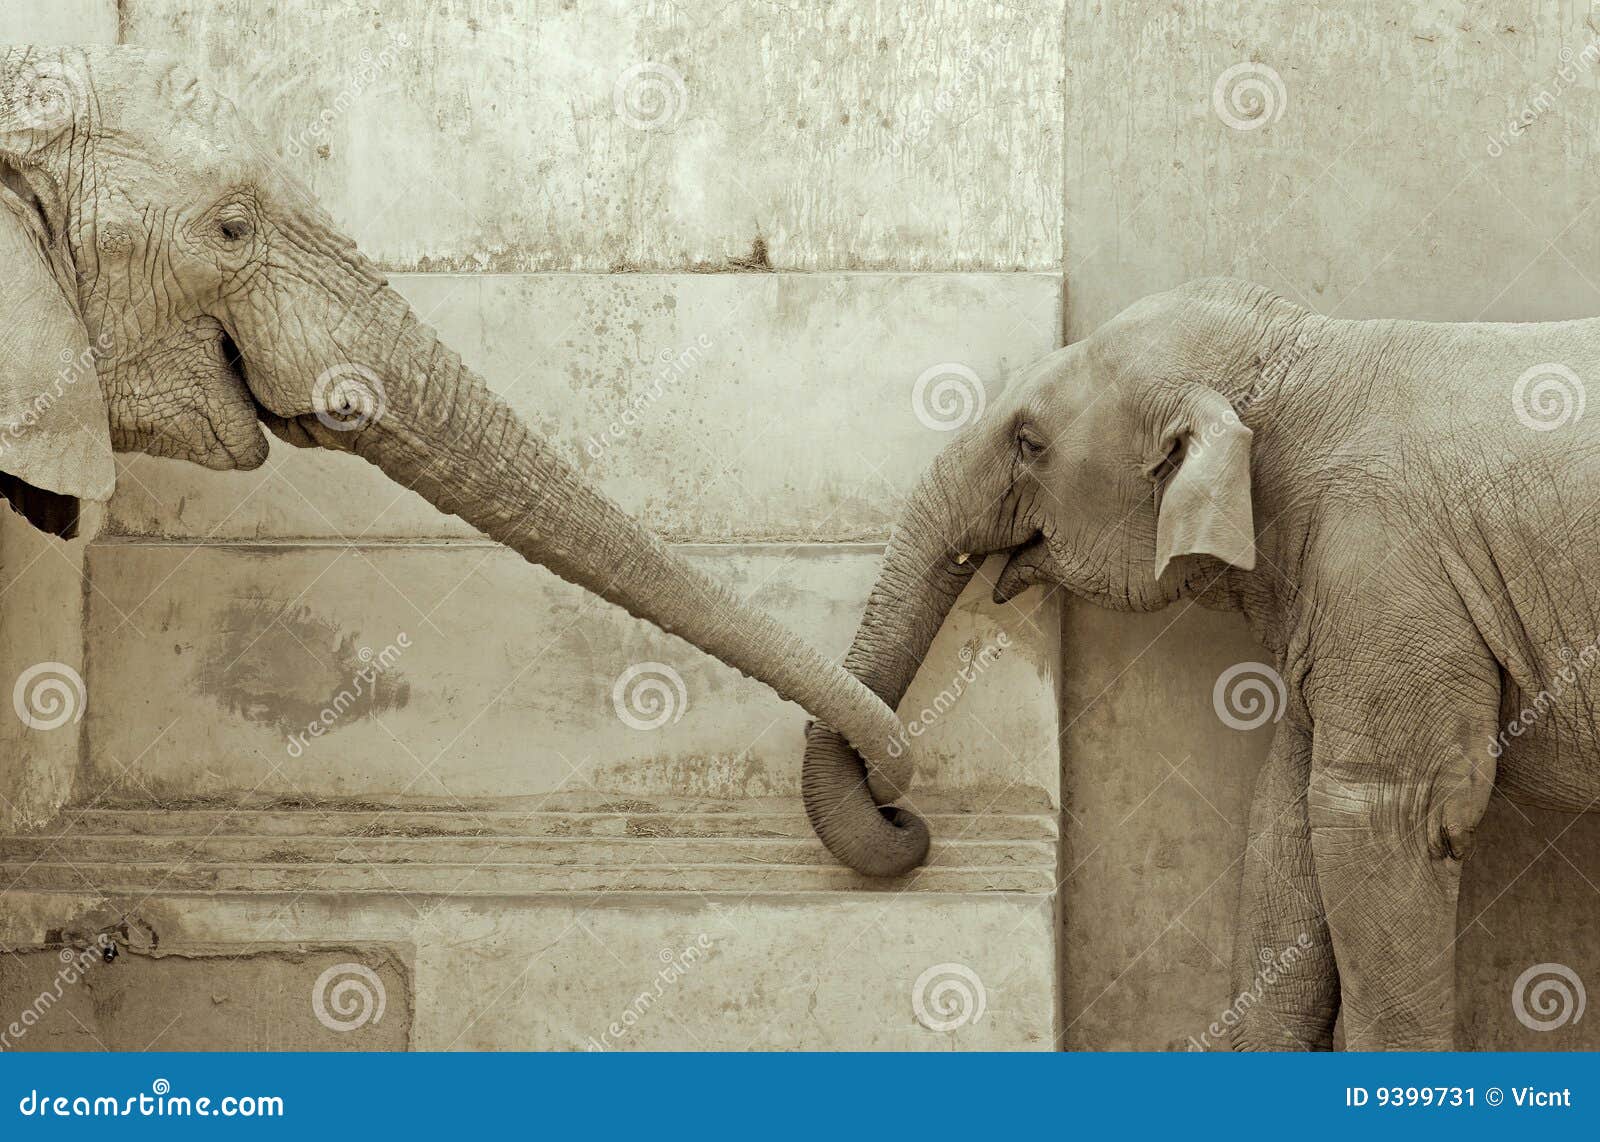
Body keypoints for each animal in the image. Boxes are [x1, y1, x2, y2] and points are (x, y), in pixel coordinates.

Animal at [804, 273, 1600, 1049]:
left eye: (1030, 443)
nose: (905, 818)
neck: (1305, 351)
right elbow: (1286, 815)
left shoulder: (1389, 573)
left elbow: (1388, 813)